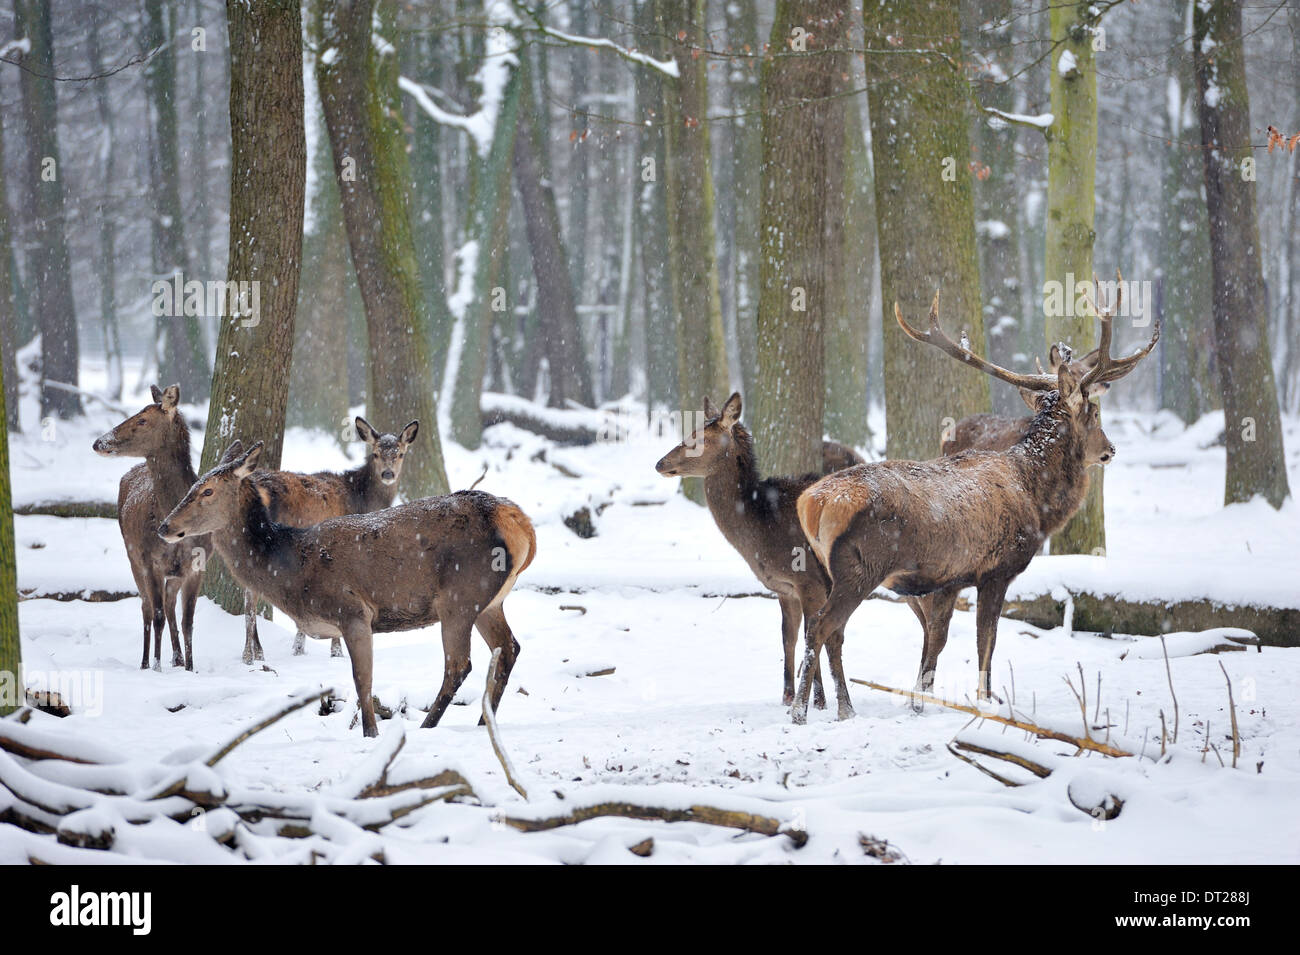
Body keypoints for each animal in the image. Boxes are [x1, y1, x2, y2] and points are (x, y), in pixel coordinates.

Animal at [92, 385, 209, 671]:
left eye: (143, 420)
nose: (99, 442)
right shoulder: (149, 560)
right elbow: (156, 616)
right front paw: (155, 666)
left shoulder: (197, 565)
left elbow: (188, 621)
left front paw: (191, 667)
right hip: (133, 557)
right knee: (147, 607)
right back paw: (145, 662)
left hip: (172, 572)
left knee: (169, 604)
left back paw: (177, 658)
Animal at [239, 417, 419, 663]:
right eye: (375, 453)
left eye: (400, 453)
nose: (388, 474)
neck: (361, 500)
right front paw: (336, 651)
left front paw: (299, 648)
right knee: (251, 598)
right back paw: (250, 655)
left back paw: (255, 653)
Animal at [655, 393, 857, 717]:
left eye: (699, 437)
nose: (660, 463)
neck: (763, 527)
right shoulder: (785, 589)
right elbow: (788, 637)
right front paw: (787, 697)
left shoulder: (809, 581)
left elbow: (813, 636)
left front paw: (818, 702)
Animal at [791, 277, 1158, 723]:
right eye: (1095, 412)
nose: (1109, 449)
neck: (1035, 499)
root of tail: (812, 504)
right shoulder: (995, 570)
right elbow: (986, 639)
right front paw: (985, 701)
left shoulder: (948, 579)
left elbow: (936, 641)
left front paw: (922, 700)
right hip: (859, 568)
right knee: (821, 626)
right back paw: (801, 711)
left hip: (827, 567)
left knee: (833, 631)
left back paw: (844, 707)